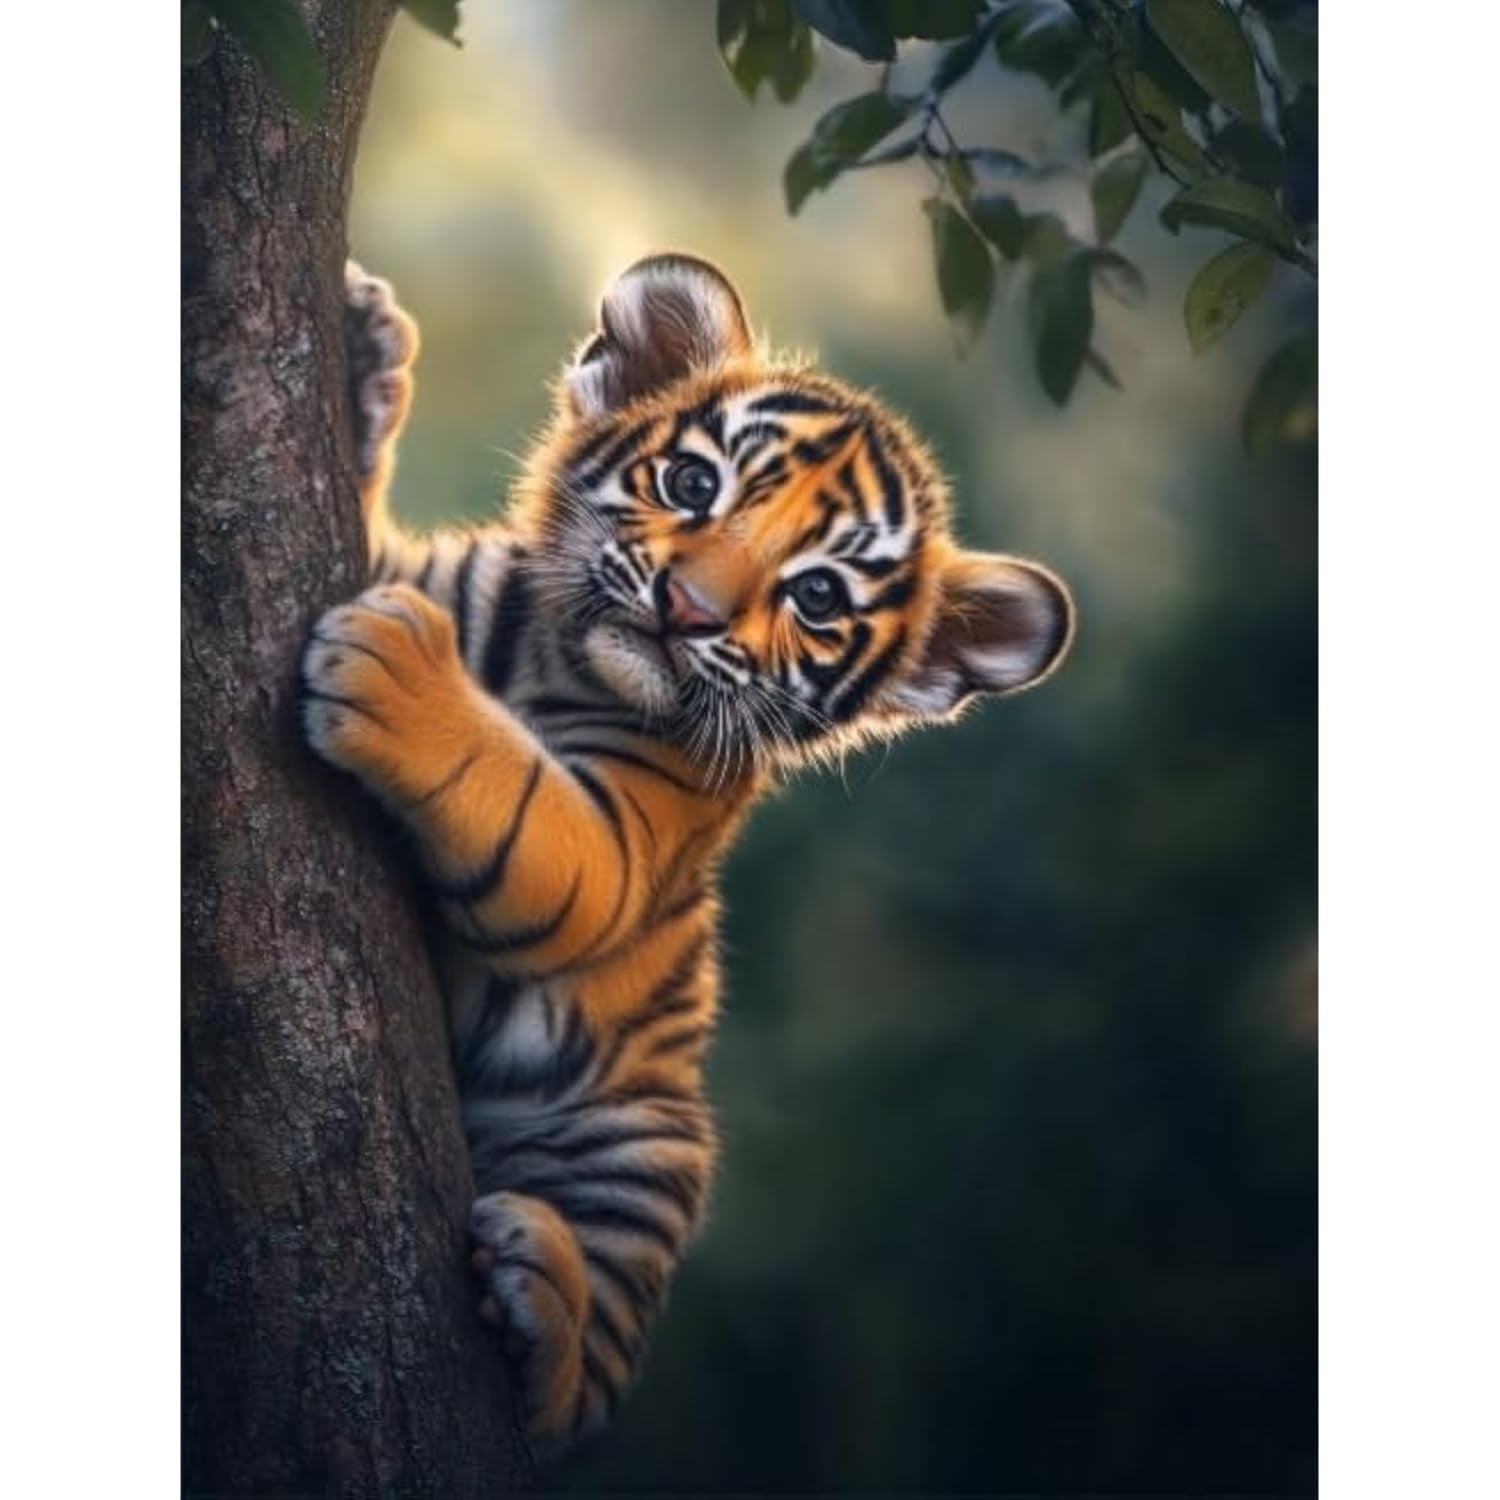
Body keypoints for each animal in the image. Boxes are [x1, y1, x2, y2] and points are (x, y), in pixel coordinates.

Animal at [301, 253, 1074, 1453]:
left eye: (817, 595)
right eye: (691, 484)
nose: (685, 608)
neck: (541, 654)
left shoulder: (615, 849)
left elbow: (512, 794)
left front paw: (397, 674)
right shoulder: (427, 573)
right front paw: (362, 349)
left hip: (643, 1151)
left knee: (575, 1396)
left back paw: (539, 1300)